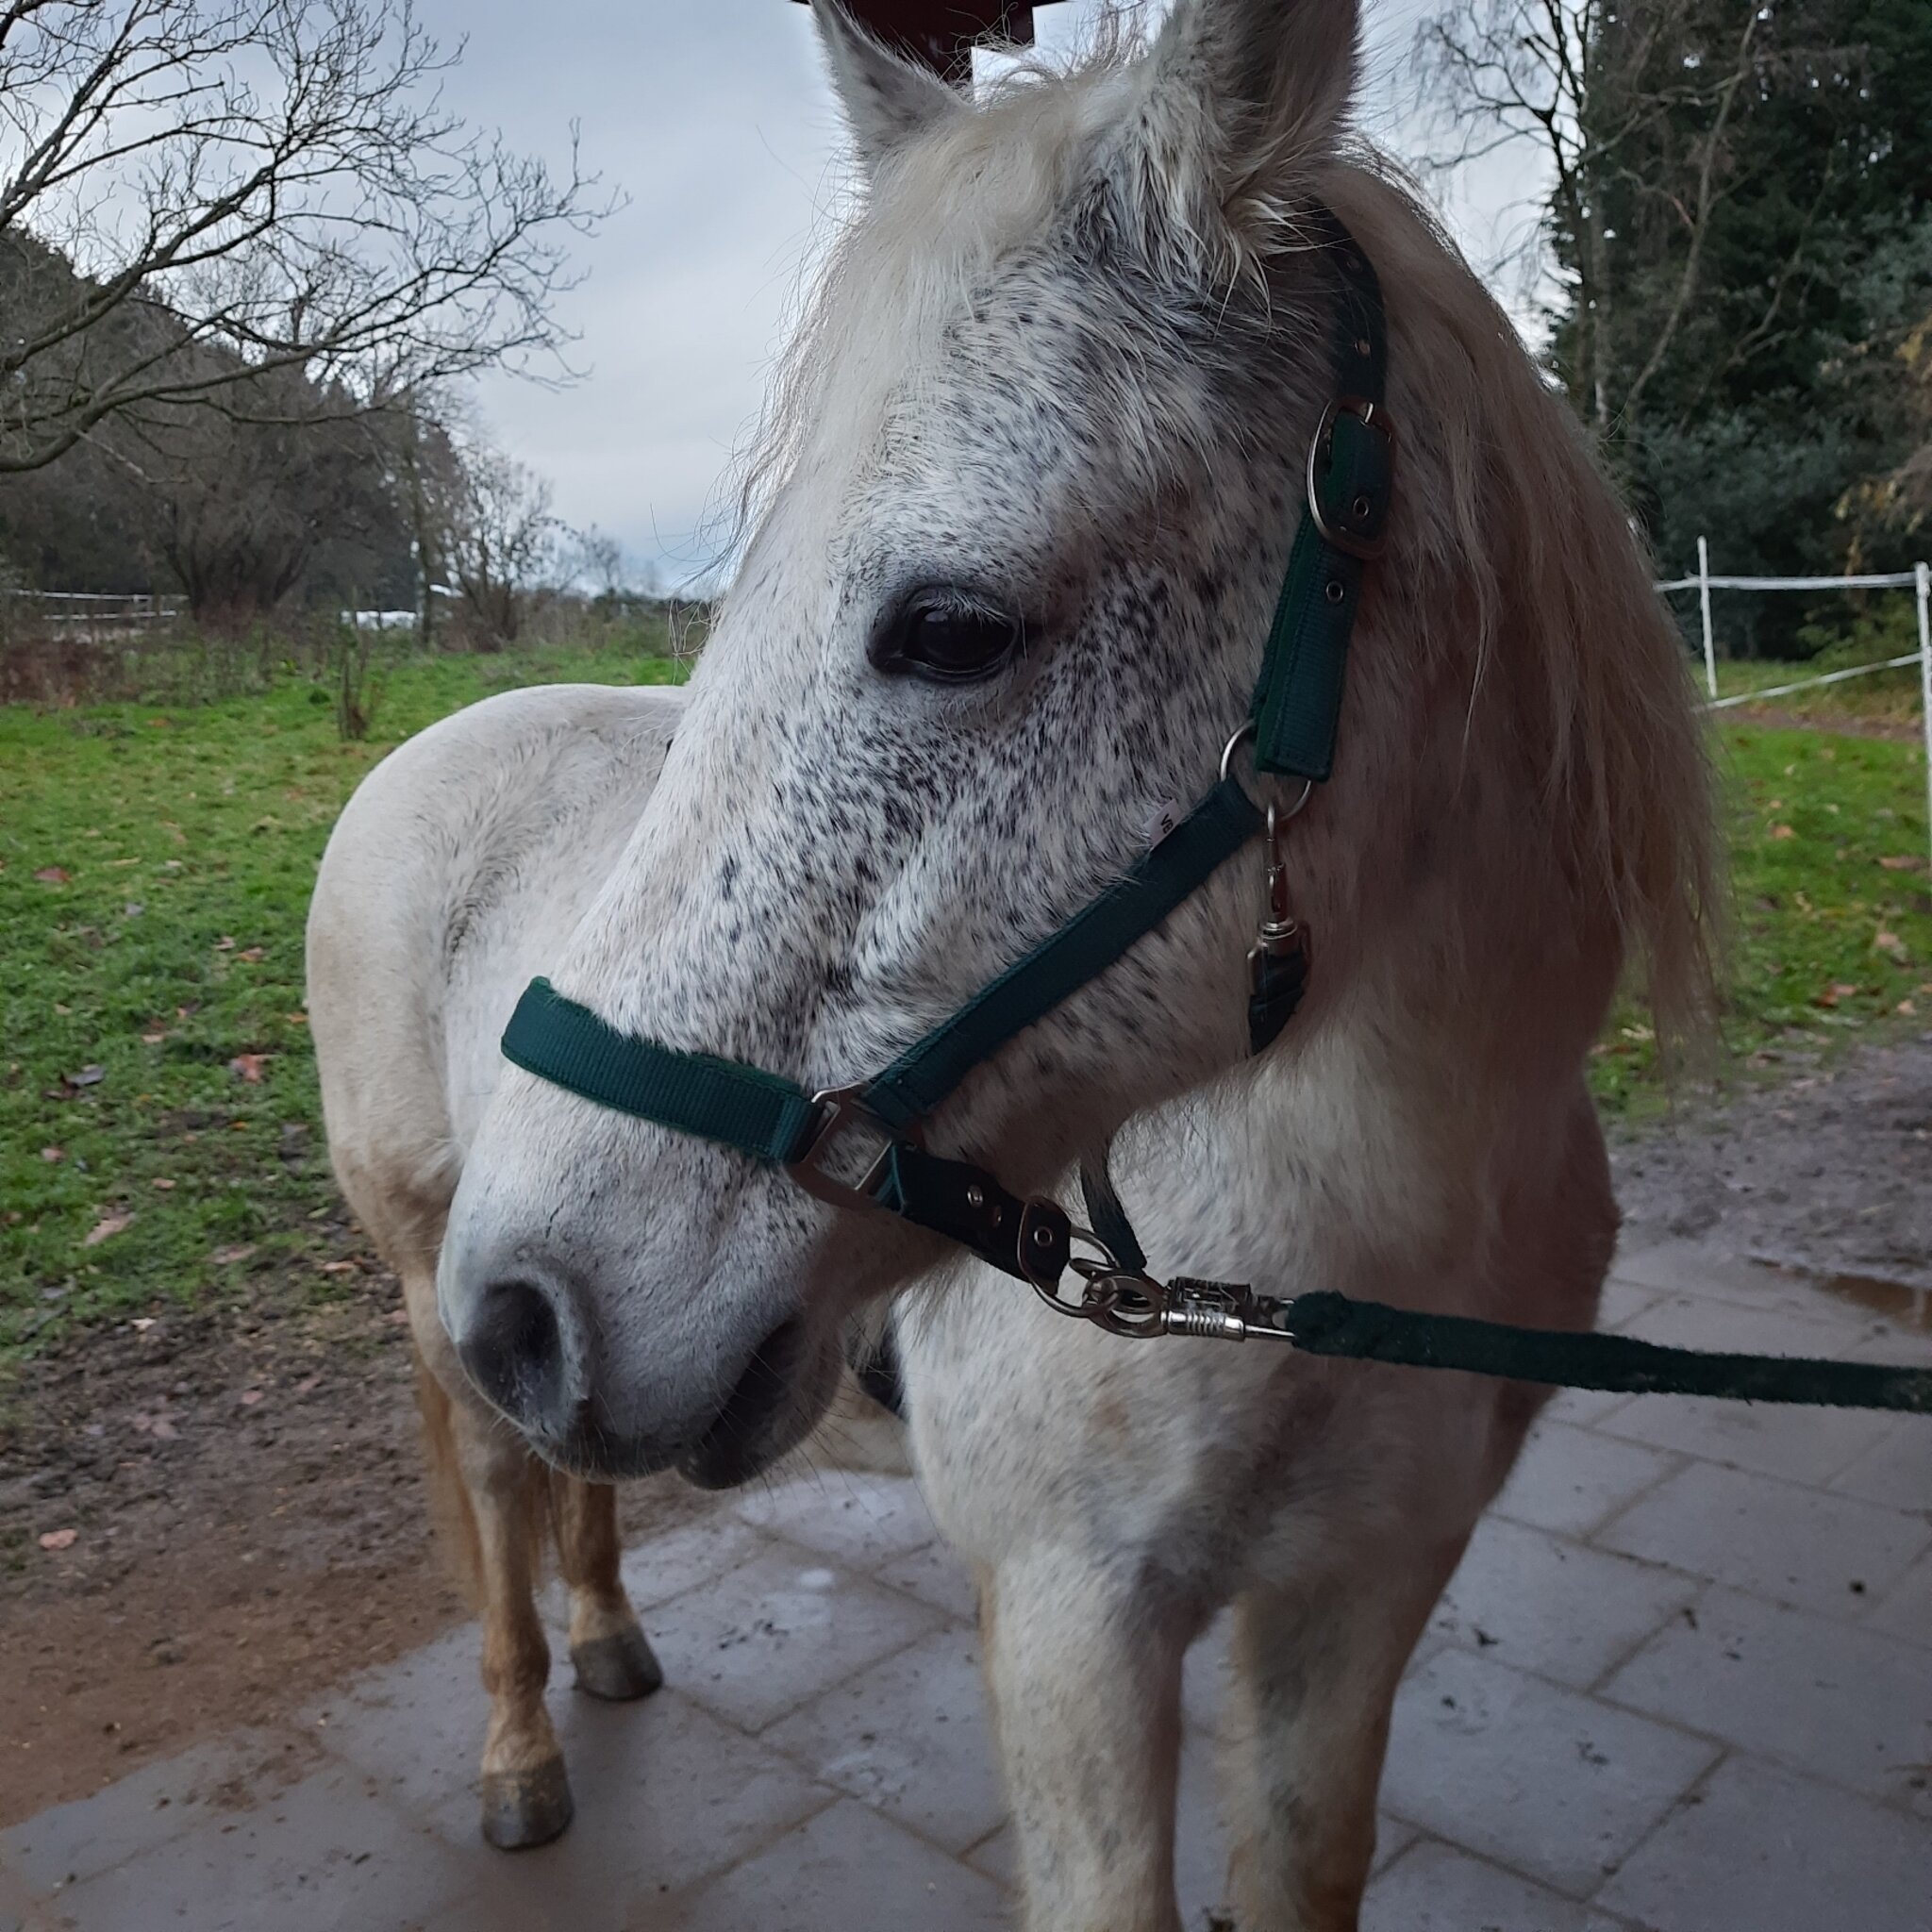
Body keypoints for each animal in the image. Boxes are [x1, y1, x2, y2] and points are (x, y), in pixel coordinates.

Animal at [412, 0, 1716, 1923]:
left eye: (953, 628)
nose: (524, 1304)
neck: (1349, 1225)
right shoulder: (1069, 1616)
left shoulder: (1363, 1590)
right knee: (493, 1489)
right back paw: (514, 1748)